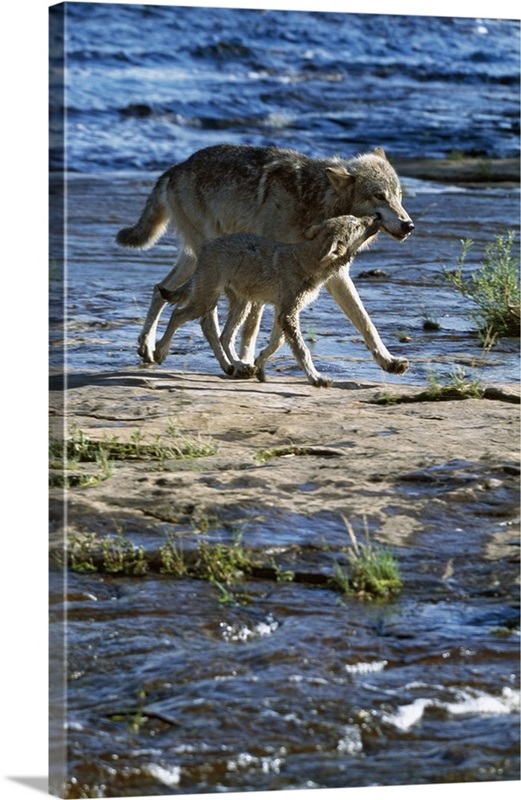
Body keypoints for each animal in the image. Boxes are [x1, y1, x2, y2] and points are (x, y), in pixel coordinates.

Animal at [153, 214, 381, 386]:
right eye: (358, 225)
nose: (376, 216)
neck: (308, 262)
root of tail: (207, 249)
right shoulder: (288, 314)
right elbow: (303, 350)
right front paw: (316, 378)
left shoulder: (284, 313)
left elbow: (275, 344)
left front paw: (259, 366)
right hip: (206, 301)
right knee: (177, 315)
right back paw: (159, 351)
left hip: (241, 305)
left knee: (224, 336)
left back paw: (238, 365)